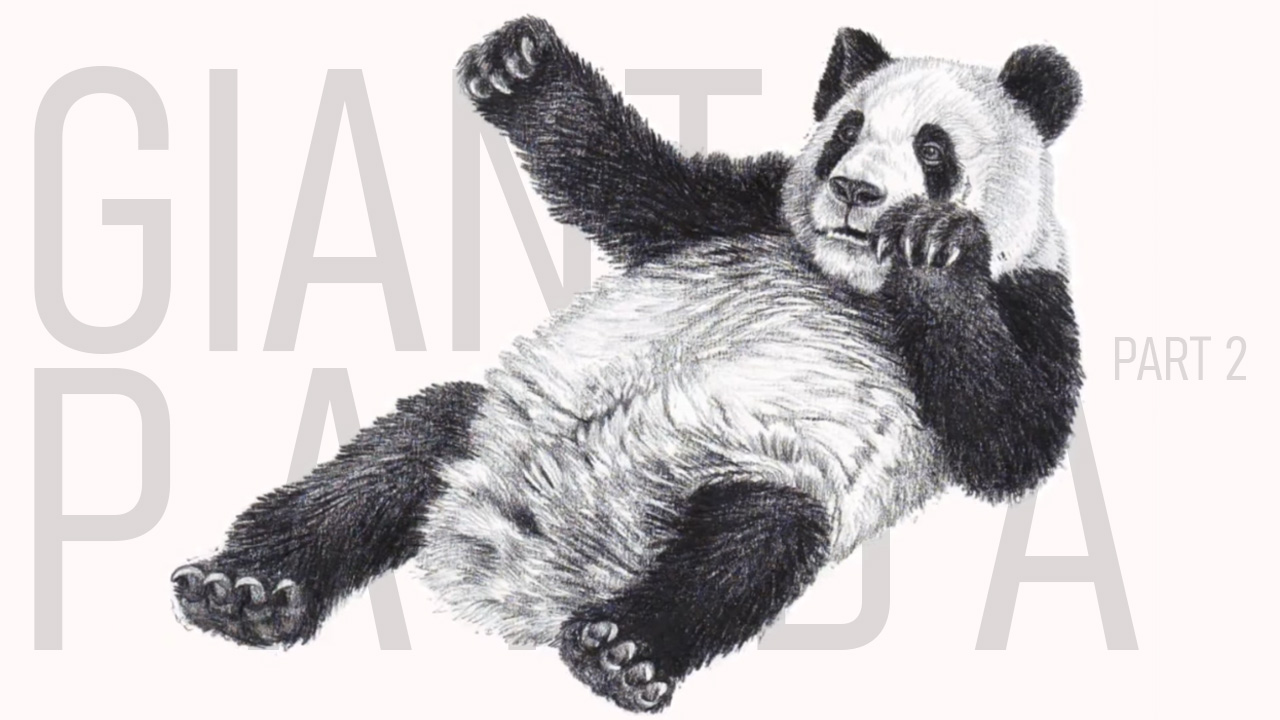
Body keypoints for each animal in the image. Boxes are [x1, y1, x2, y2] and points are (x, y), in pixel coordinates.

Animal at [170, 16, 1083, 714]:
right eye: (845, 133)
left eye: (933, 150)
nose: (858, 192)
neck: (848, 277)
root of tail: (507, 564)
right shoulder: (743, 209)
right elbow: (628, 180)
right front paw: (518, 64)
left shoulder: (1033, 300)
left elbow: (1010, 437)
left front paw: (934, 244)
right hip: (491, 425)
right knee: (389, 457)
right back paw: (246, 591)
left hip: (741, 474)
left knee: (750, 544)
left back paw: (621, 652)